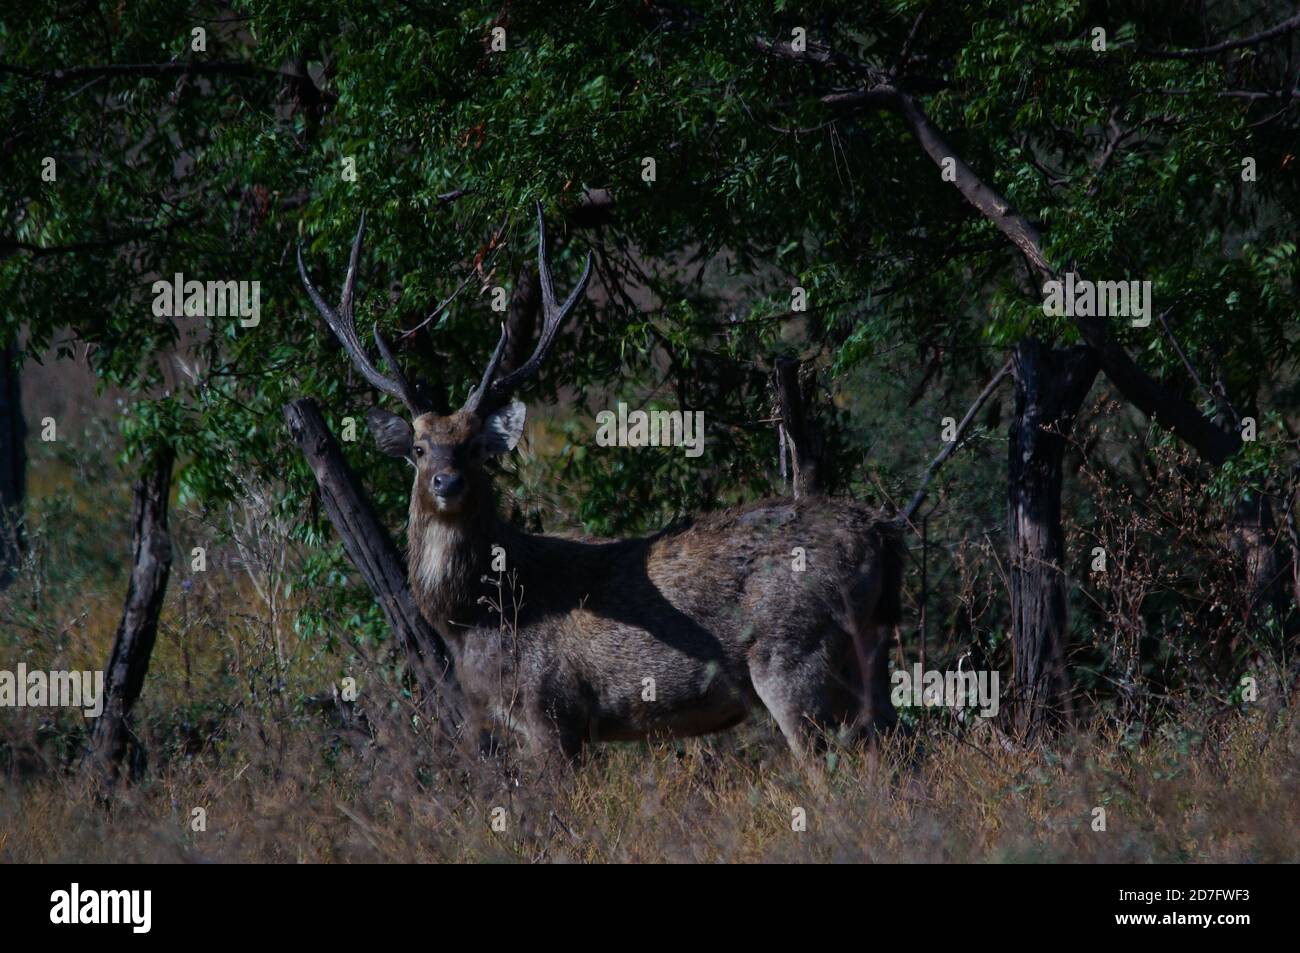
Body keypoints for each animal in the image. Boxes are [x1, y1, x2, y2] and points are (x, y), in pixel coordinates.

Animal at [297, 205, 905, 764]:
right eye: (419, 450)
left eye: (473, 447)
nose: (446, 481)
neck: (479, 614)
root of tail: (882, 534)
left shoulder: (551, 709)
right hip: (870, 653)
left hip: (794, 655)